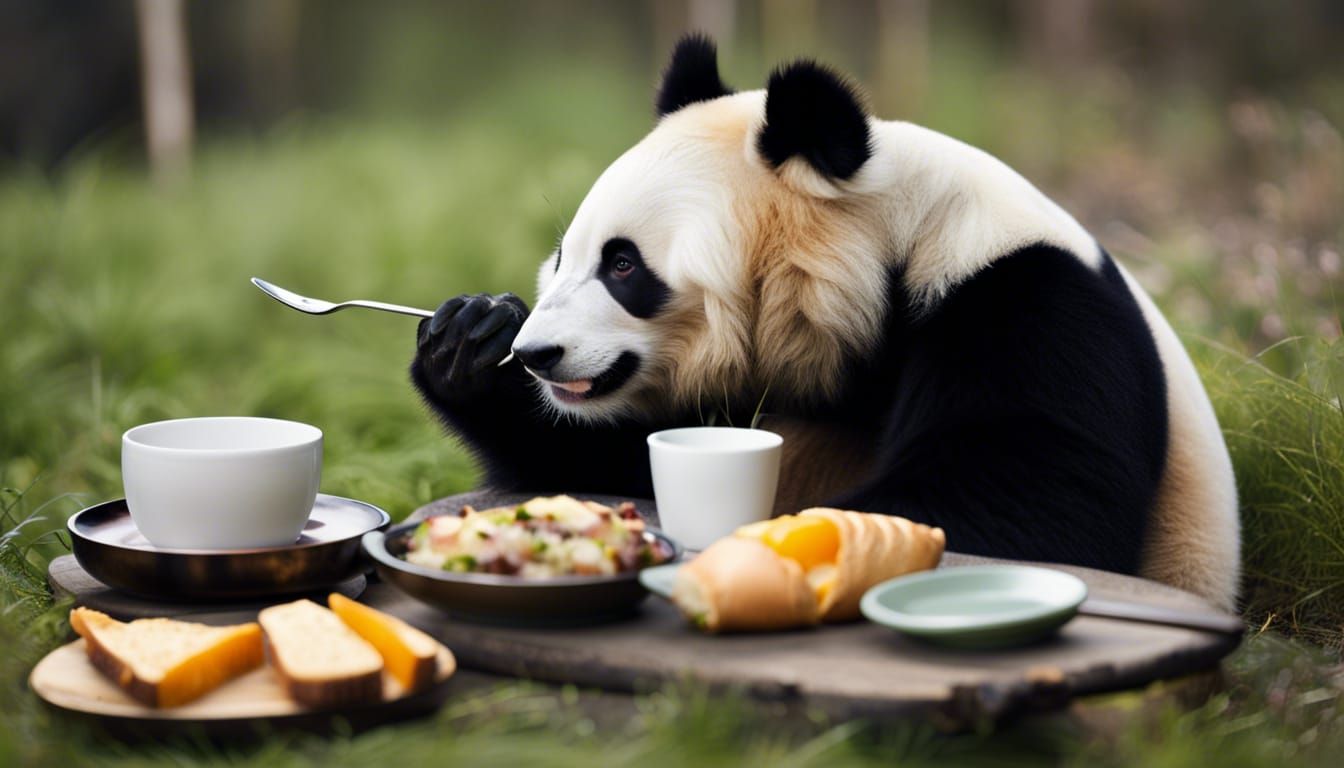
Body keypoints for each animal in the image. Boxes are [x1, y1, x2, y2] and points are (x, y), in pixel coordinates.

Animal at [411, 35, 1241, 610]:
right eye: (563, 256)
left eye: (622, 266)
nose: (538, 354)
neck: (895, 245)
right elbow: (611, 457)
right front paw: (468, 341)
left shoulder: (1030, 306)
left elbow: (1033, 504)